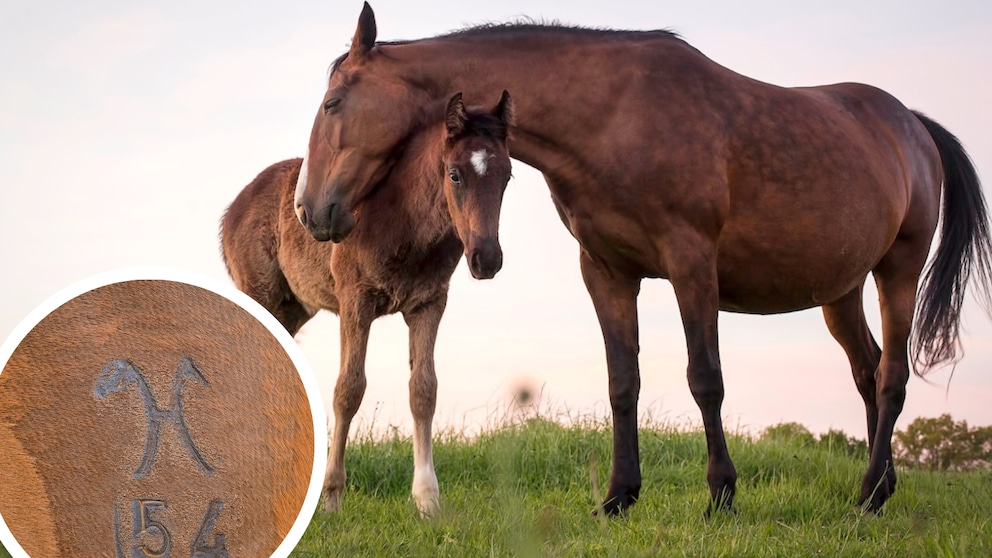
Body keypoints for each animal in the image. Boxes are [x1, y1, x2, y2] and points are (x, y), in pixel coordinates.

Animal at [221, 91, 515, 516]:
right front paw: (331, 497)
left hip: (292, 309)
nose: (487, 259)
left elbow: (423, 389)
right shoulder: (355, 299)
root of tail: (233, 209)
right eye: (455, 174)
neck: (404, 219)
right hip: (260, 293)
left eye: (507, 176)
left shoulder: (429, 302)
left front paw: (427, 500)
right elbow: (349, 389)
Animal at [293, 3, 992, 517]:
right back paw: (882, 488)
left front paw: (720, 497)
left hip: (898, 271)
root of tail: (913, 126)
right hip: (840, 291)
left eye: (332, 104)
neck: (614, 115)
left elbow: (705, 378)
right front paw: (618, 497)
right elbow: (621, 382)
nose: (309, 209)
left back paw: (867, 497)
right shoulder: (606, 272)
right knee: (868, 372)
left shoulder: (692, 265)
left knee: (892, 377)